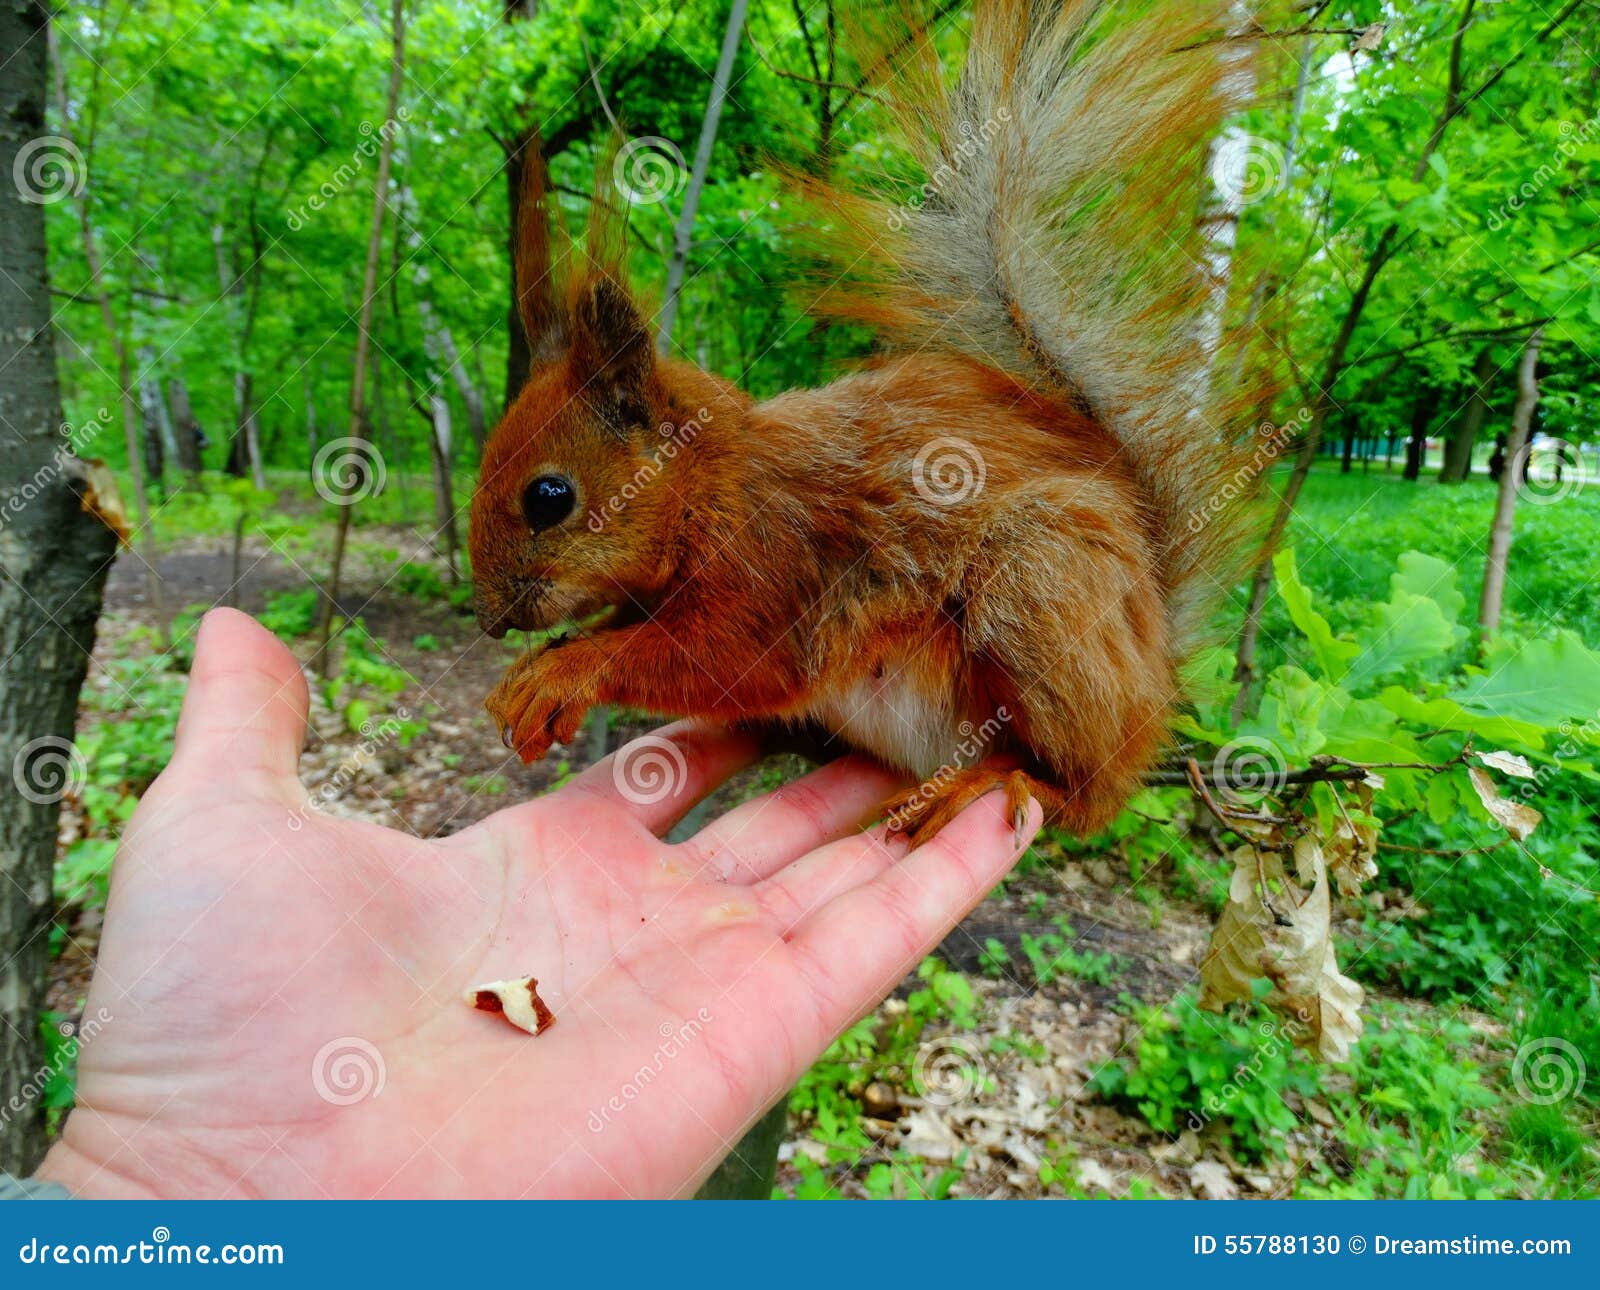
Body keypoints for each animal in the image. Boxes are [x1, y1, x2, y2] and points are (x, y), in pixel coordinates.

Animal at [469, 0, 1270, 843]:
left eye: (549, 498)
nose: (489, 622)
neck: (705, 479)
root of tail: (1156, 660)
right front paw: (535, 668)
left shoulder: (773, 561)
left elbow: (724, 659)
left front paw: (565, 670)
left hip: (1040, 579)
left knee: (1093, 793)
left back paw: (992, 785)